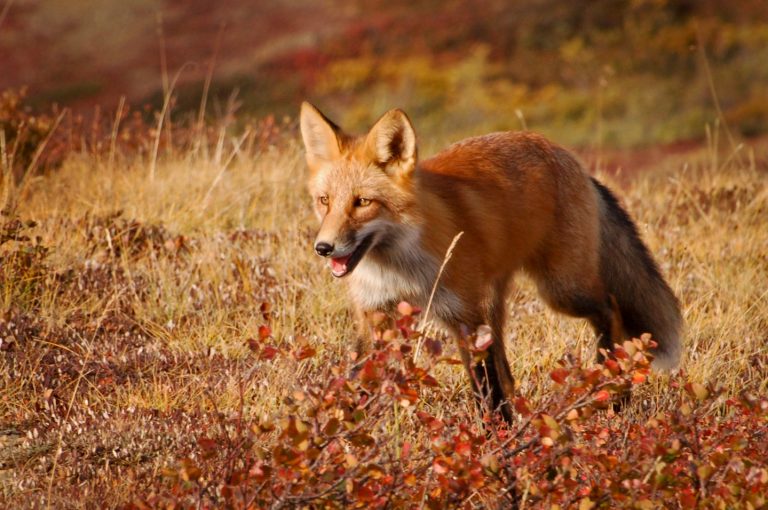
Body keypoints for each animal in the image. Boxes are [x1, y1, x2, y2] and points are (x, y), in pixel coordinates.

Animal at [299, 101, 683, 422]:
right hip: (499, 299)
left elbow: (486, 391)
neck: (398, 268)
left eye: (362, 202)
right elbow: (356, 379)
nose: (323, 247)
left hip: (561, 289)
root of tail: (570, 159)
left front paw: (496, 442)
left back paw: (613, 388)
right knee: (508, 369)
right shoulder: (375, 314)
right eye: (324, 201)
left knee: (610, 308)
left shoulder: (464, 316)